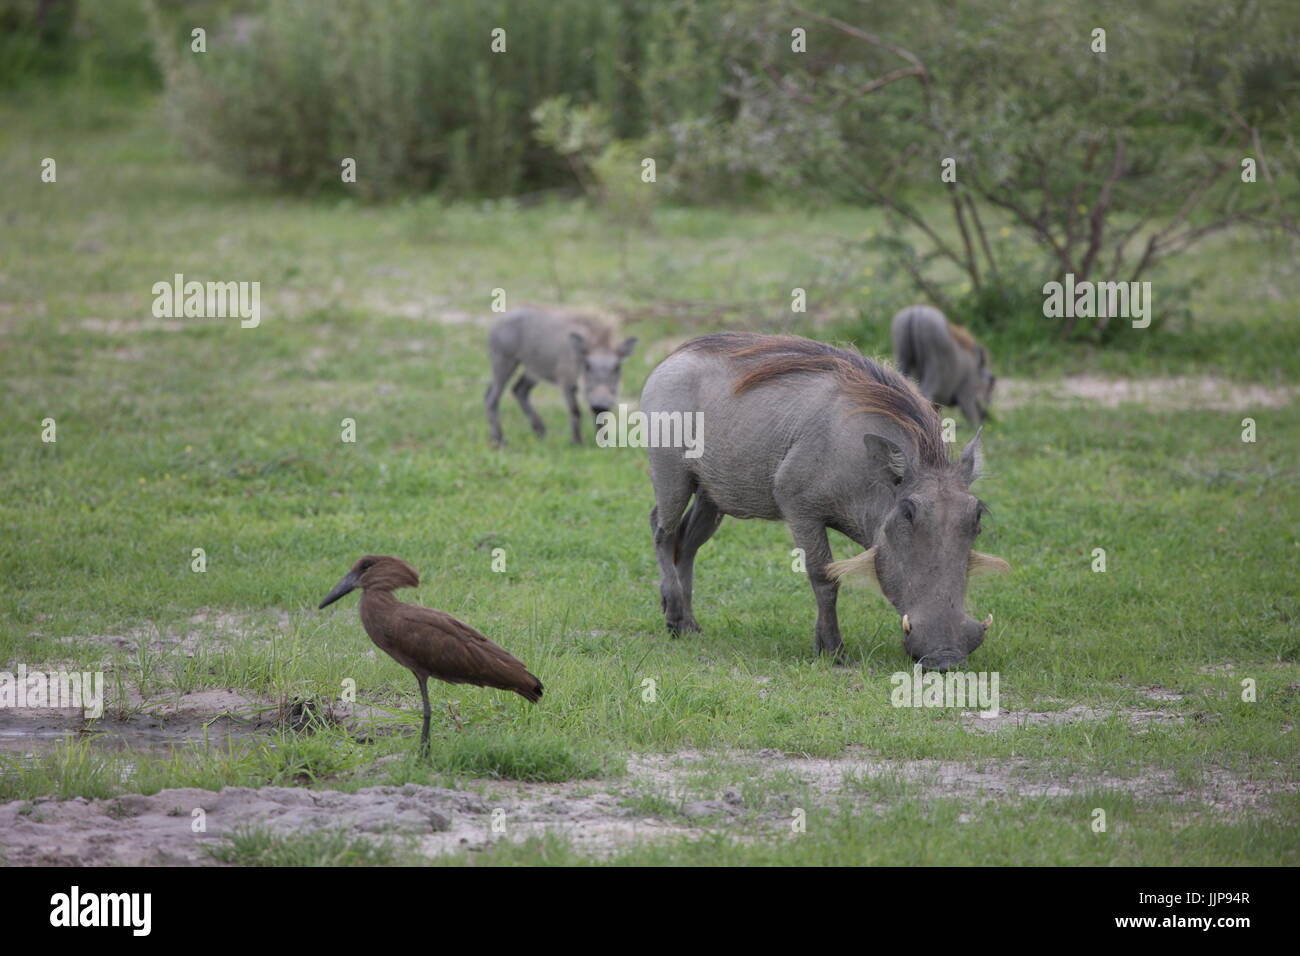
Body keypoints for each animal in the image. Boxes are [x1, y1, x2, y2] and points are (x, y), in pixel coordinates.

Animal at [485, 308, 637, 446]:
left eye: (617, 367)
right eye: (587, 365)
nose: (601, 404)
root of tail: (497, 320)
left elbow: (600, 417)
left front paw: (603, 443)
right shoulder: (566, 382)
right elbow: (575, 412)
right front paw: (577, 443)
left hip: (532, 371)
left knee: (517, 391)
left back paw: (541, 434)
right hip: (503, 361)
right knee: (493, 399)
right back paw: (500, 441)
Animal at [641, 332, 1009, 670]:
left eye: (976, 515)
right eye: (907, 513)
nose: (945, 658)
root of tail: (670, 358)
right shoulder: (799, 506)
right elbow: (824, 577)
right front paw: (832, 651)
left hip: (713, 494)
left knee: (688, 543)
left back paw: (691, 626)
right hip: (671, 475)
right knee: (662, 531)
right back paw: (674, 621)